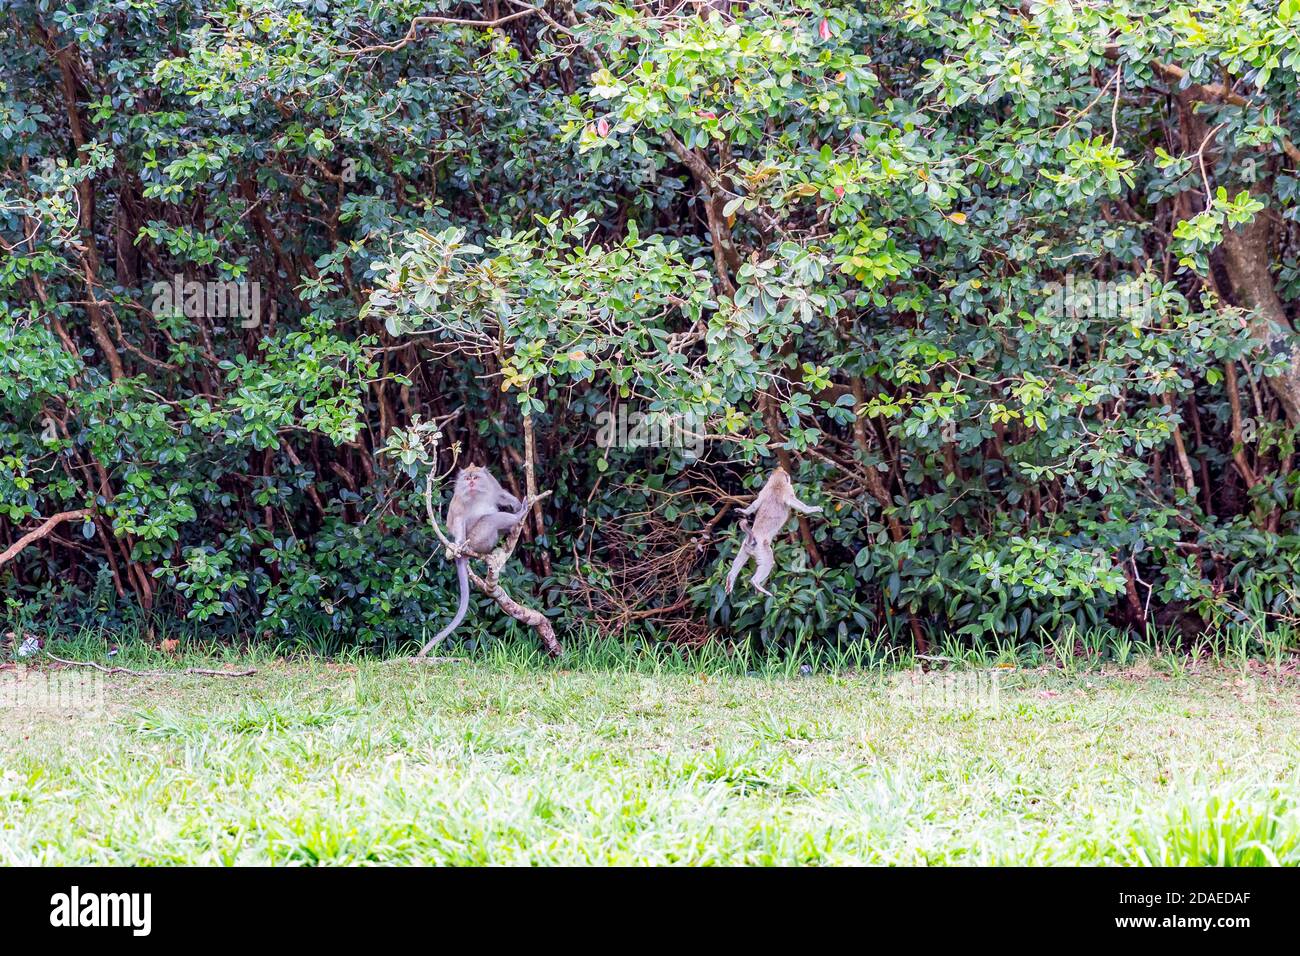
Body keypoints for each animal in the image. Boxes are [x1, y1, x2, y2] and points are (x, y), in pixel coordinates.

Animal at [431, 465, 531, 645]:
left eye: (475, 478)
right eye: (467, 478)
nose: (471, 483)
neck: (475, 495)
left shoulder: (492, 484)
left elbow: (501, 495)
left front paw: (515, 503)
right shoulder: (459, 503)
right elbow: (457, 521)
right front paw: (456, 545)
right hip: (477, 540)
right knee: (490, 521)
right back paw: (517, 517)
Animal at [724, 466, 822, 596]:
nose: (782, 469)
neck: (776, 483)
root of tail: (753, 539)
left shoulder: (764, 491)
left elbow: (755, 505)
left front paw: (743, 511)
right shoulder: (787, 490)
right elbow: (796, 503)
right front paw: (812, 510)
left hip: (745, 547)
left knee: (739, 560)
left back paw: (731, 577)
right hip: (762, 549)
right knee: (768, 562)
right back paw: (756, 583)